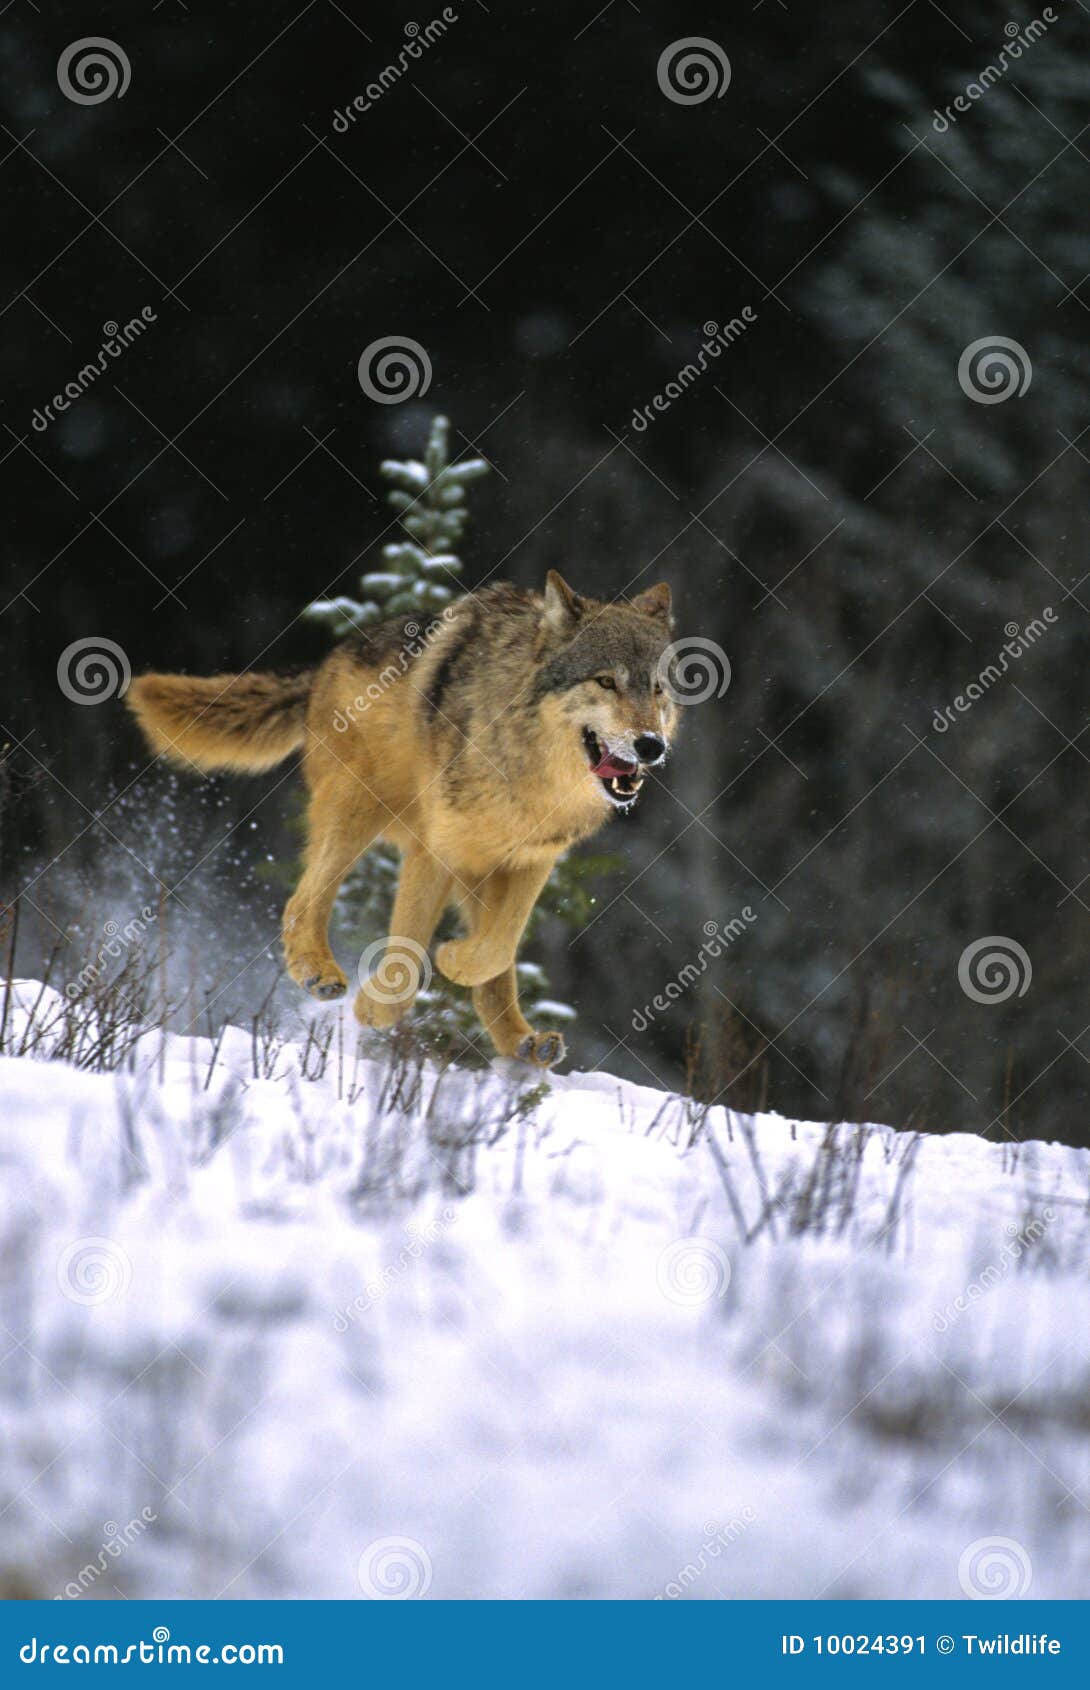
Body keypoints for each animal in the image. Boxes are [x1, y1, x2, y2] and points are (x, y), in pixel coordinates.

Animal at [127, 570, 678, 1067]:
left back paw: (524, 1042)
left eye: (656, 690)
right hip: (359, 809)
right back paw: (317, 971)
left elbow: (498, 948)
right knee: (301, 902)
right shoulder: (436, 848)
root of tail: (323, 664)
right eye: (606, 682)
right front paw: (378, 1010)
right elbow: (413, 950)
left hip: (469, 865)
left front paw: (453, 960)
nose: (651, 746)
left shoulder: (532, 859)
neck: (529, 774)